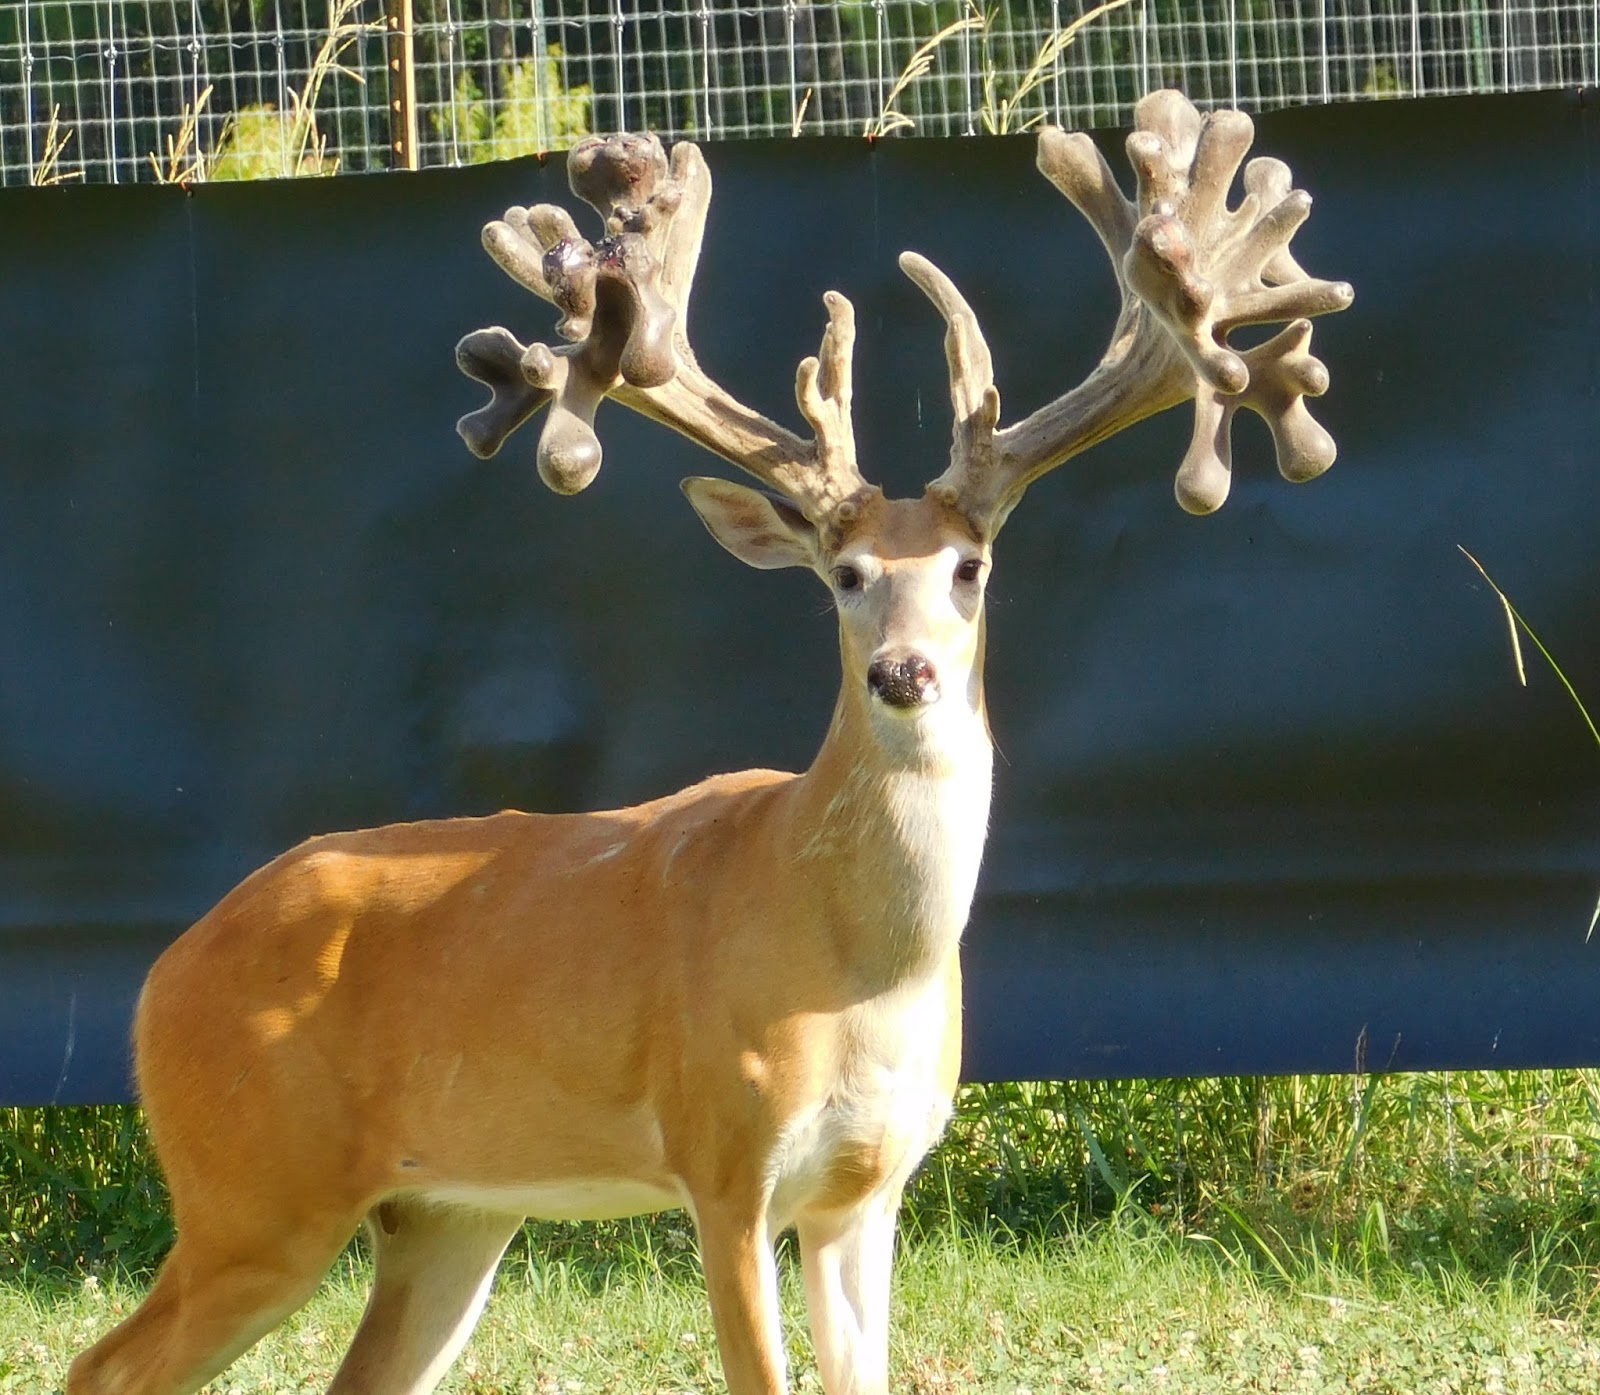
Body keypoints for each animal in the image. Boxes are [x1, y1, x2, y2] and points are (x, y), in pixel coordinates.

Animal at [69, 90, 1351, 1395]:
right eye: (844, 576)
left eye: (968, 567)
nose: (903, 671)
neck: (856, 965)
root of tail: (160, 979)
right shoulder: (722, 1155)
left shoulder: (868, 1186)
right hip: (252, 1185)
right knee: (103, 1367)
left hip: (446, 1212)